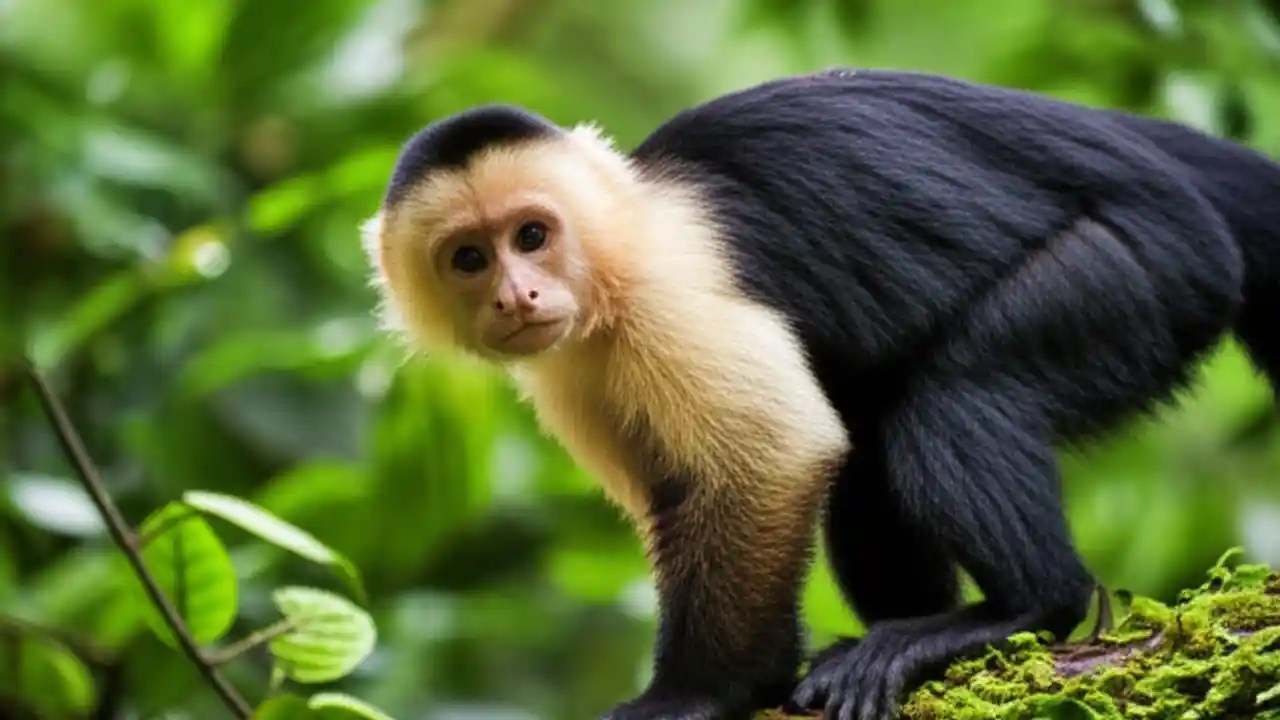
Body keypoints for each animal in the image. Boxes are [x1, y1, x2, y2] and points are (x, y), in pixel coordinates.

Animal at [361, 68, 1280, 720]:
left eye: (532, 236)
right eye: (470, 259)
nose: (518, 297)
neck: (615, 249)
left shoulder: (668, 291)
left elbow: (770, 459)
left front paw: (710, 690)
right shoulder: (566, 366)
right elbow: (683, 493)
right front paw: (759, 677)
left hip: (1149, 263)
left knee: (955, 396)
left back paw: (1025, 608)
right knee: (874, 444)